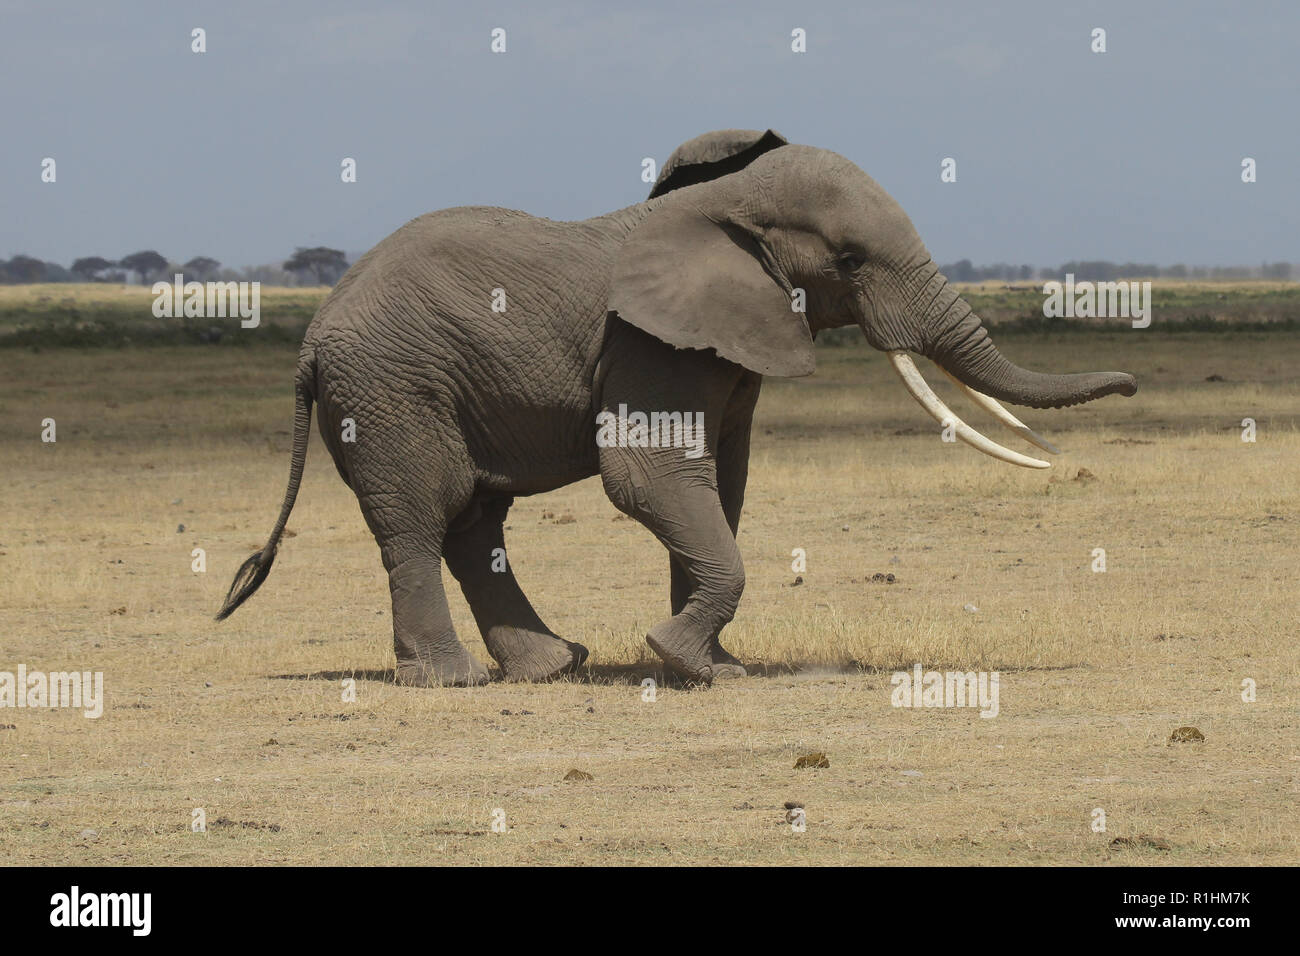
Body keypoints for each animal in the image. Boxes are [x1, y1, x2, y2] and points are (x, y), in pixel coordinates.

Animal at [217, 128, 1137, 687]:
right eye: (849, 260)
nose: (1130, 387)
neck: (724, 207)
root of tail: (312, 337)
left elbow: (719, 487)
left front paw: (711, 665)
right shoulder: (650, 344)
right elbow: (651, 478)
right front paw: (683, 659)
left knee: (474, 521)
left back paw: (553, 666)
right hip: (391, 387)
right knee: (422, 516)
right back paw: (455, 680)